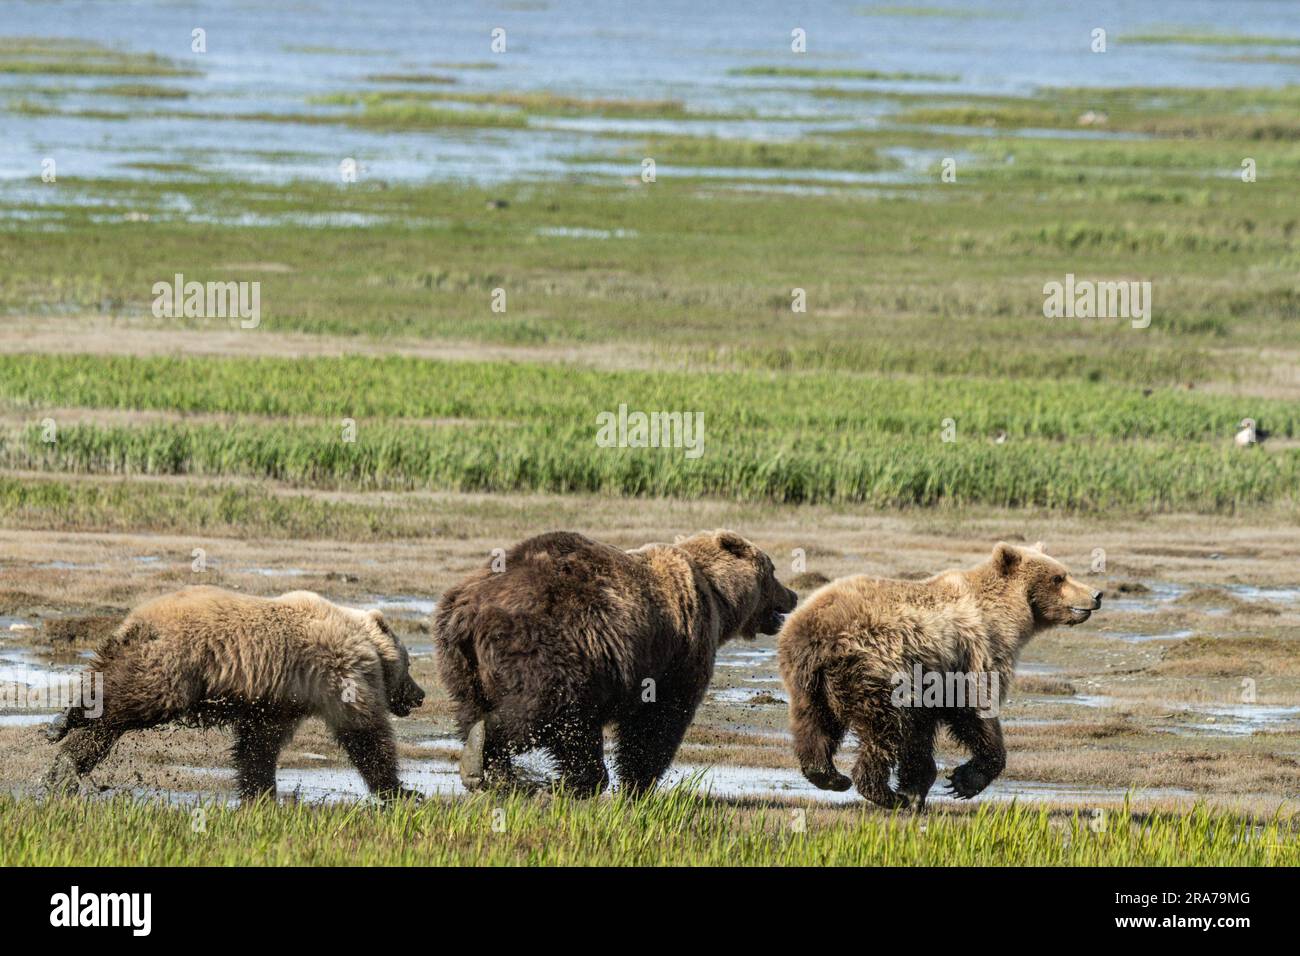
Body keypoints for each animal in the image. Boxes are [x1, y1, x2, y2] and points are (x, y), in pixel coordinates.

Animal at [44, 586, 426, 802]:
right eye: (409, 664)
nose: (419, 695)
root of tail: (135, 623)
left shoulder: (278, 700)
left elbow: (259, 746)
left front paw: (260, 792)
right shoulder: (339, 674)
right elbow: (365, 734)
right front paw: (403, 791)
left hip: (127, 655)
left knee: (106, 714)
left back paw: (63, 766)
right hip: (175, 665)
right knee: (131, 704)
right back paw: (65, 723)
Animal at [433, 530, 797, 796]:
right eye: (772, 571)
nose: (792, 595)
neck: (719, 598)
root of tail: (467, 608)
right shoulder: (679, 651)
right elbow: (658, 723)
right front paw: (637, 784)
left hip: (461, 662)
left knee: (475, 707)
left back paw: (493, 771)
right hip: (552, 642)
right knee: (547, 708)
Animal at [777, 543, 1102, 809]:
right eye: (1059, 577)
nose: (1096, 595)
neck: (1008, 619)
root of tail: (817, 630)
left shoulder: (930, 684)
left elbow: (918, 738)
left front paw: (916, 789)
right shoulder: (971, 658)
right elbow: (975, 712)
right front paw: (962, 781)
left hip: (806, 680)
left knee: (814, 724)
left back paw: (829, 775)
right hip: (874, 668)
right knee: (883, 729)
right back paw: (882, 793)